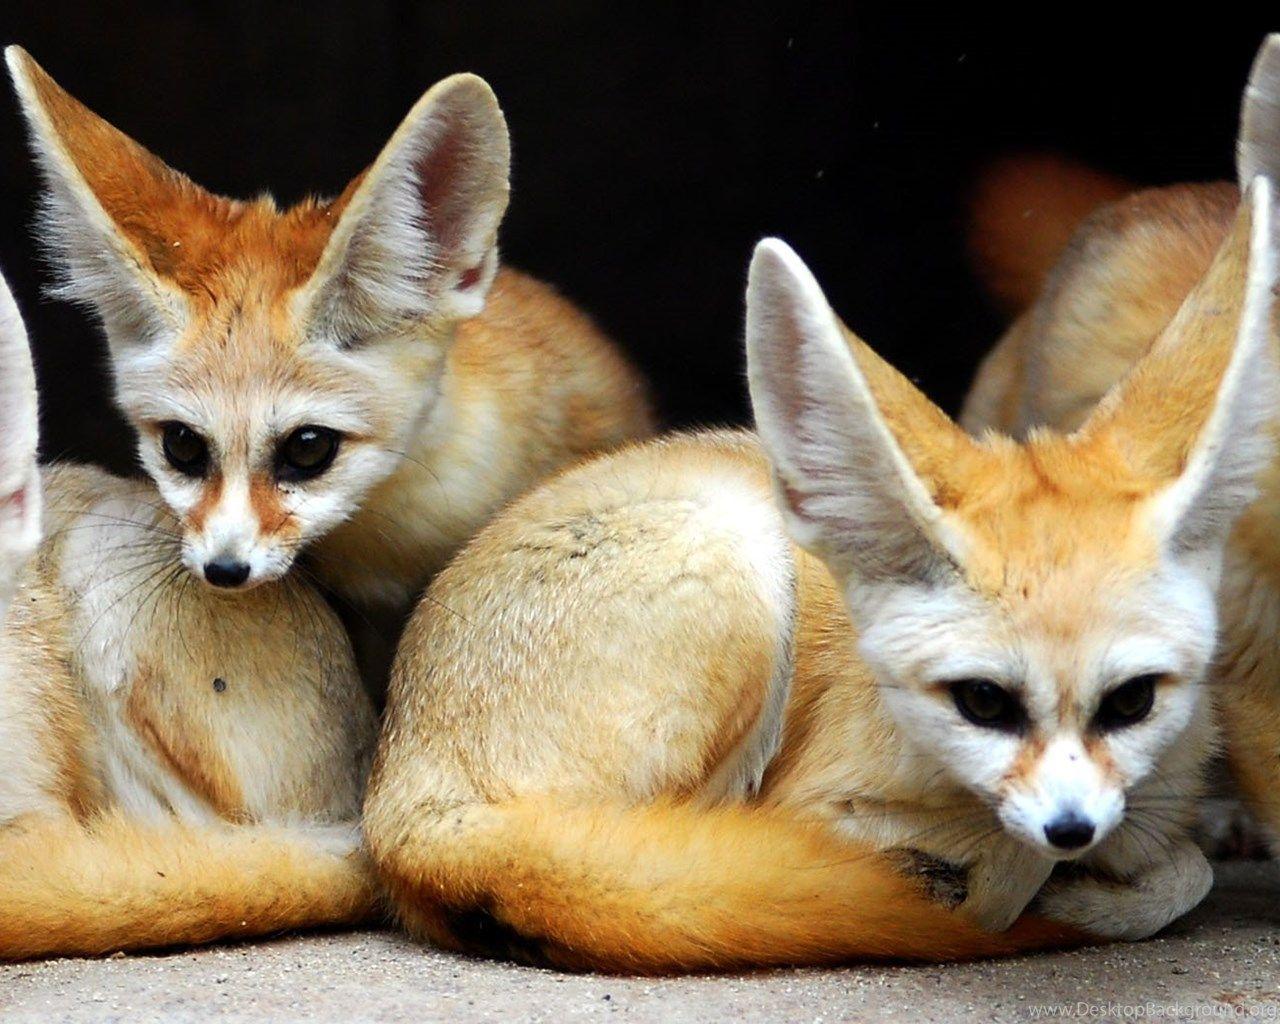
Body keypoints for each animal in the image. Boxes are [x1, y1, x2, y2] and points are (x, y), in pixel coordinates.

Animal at [360, 175, 1278, 973]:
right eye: (983, 701)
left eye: (1132, 702)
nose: (1071, 829)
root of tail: (399, 790)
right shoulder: (817, 801)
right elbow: (1020, 871)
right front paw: (1038, 893)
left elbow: (1183, 869)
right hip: (739, 571)